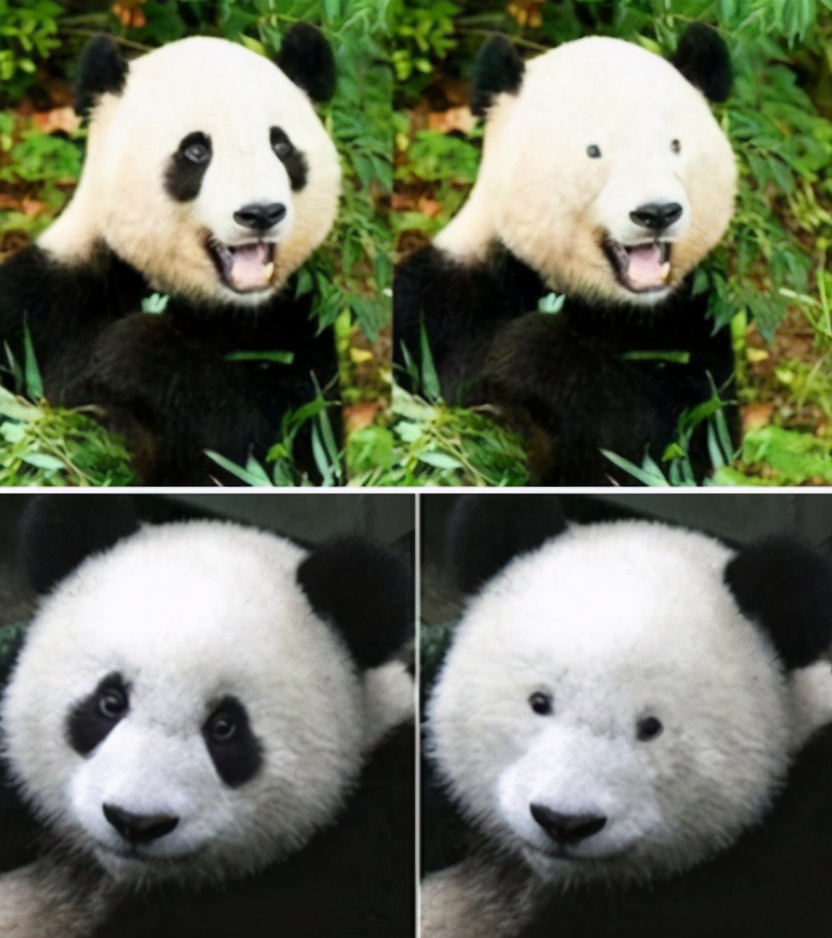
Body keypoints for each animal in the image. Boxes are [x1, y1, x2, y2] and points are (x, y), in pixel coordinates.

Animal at [0, 24, 341, 485]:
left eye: (281, 146)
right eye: (196, 151)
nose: (260, 213)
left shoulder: (296, 322)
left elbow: (284, 447)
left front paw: (126, 354)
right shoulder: (47, 297)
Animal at [394, 24, 737, 485]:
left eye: (675, 145)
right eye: (594, 151)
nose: (657, 212)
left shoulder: (691, 320)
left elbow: (670, 439)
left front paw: (524, 353)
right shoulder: (441, 299)